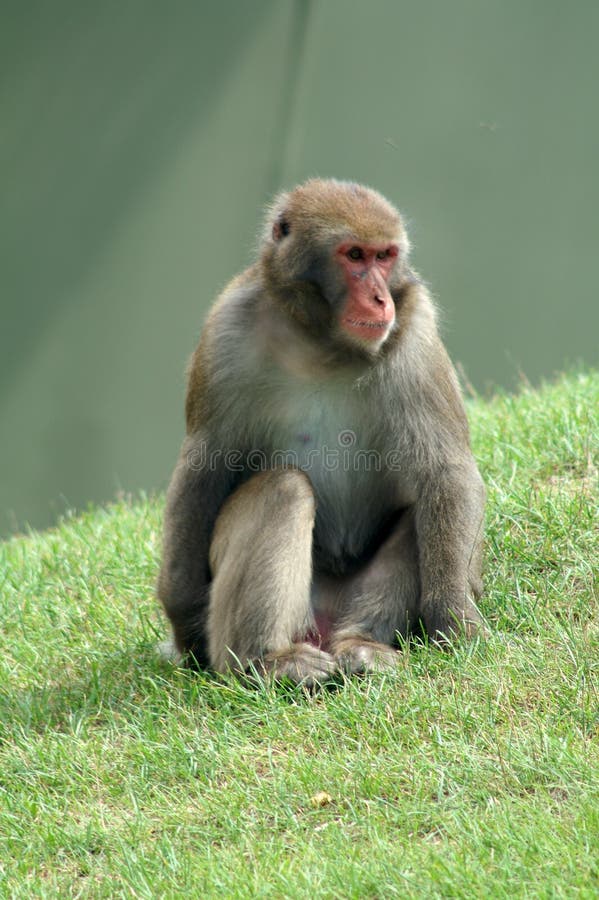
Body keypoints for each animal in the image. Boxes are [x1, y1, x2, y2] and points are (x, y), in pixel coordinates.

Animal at [158, 178, 486, 686]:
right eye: (353, 255)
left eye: (384, 256)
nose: (380, 299)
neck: (323, 343)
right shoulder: (225, 330)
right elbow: (205, 467)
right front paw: (184, 624)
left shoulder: (415, 328)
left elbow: (444, 470)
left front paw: (454, 619)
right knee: (284, 488)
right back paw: (267, 660)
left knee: (419, 511)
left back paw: (361, 646)